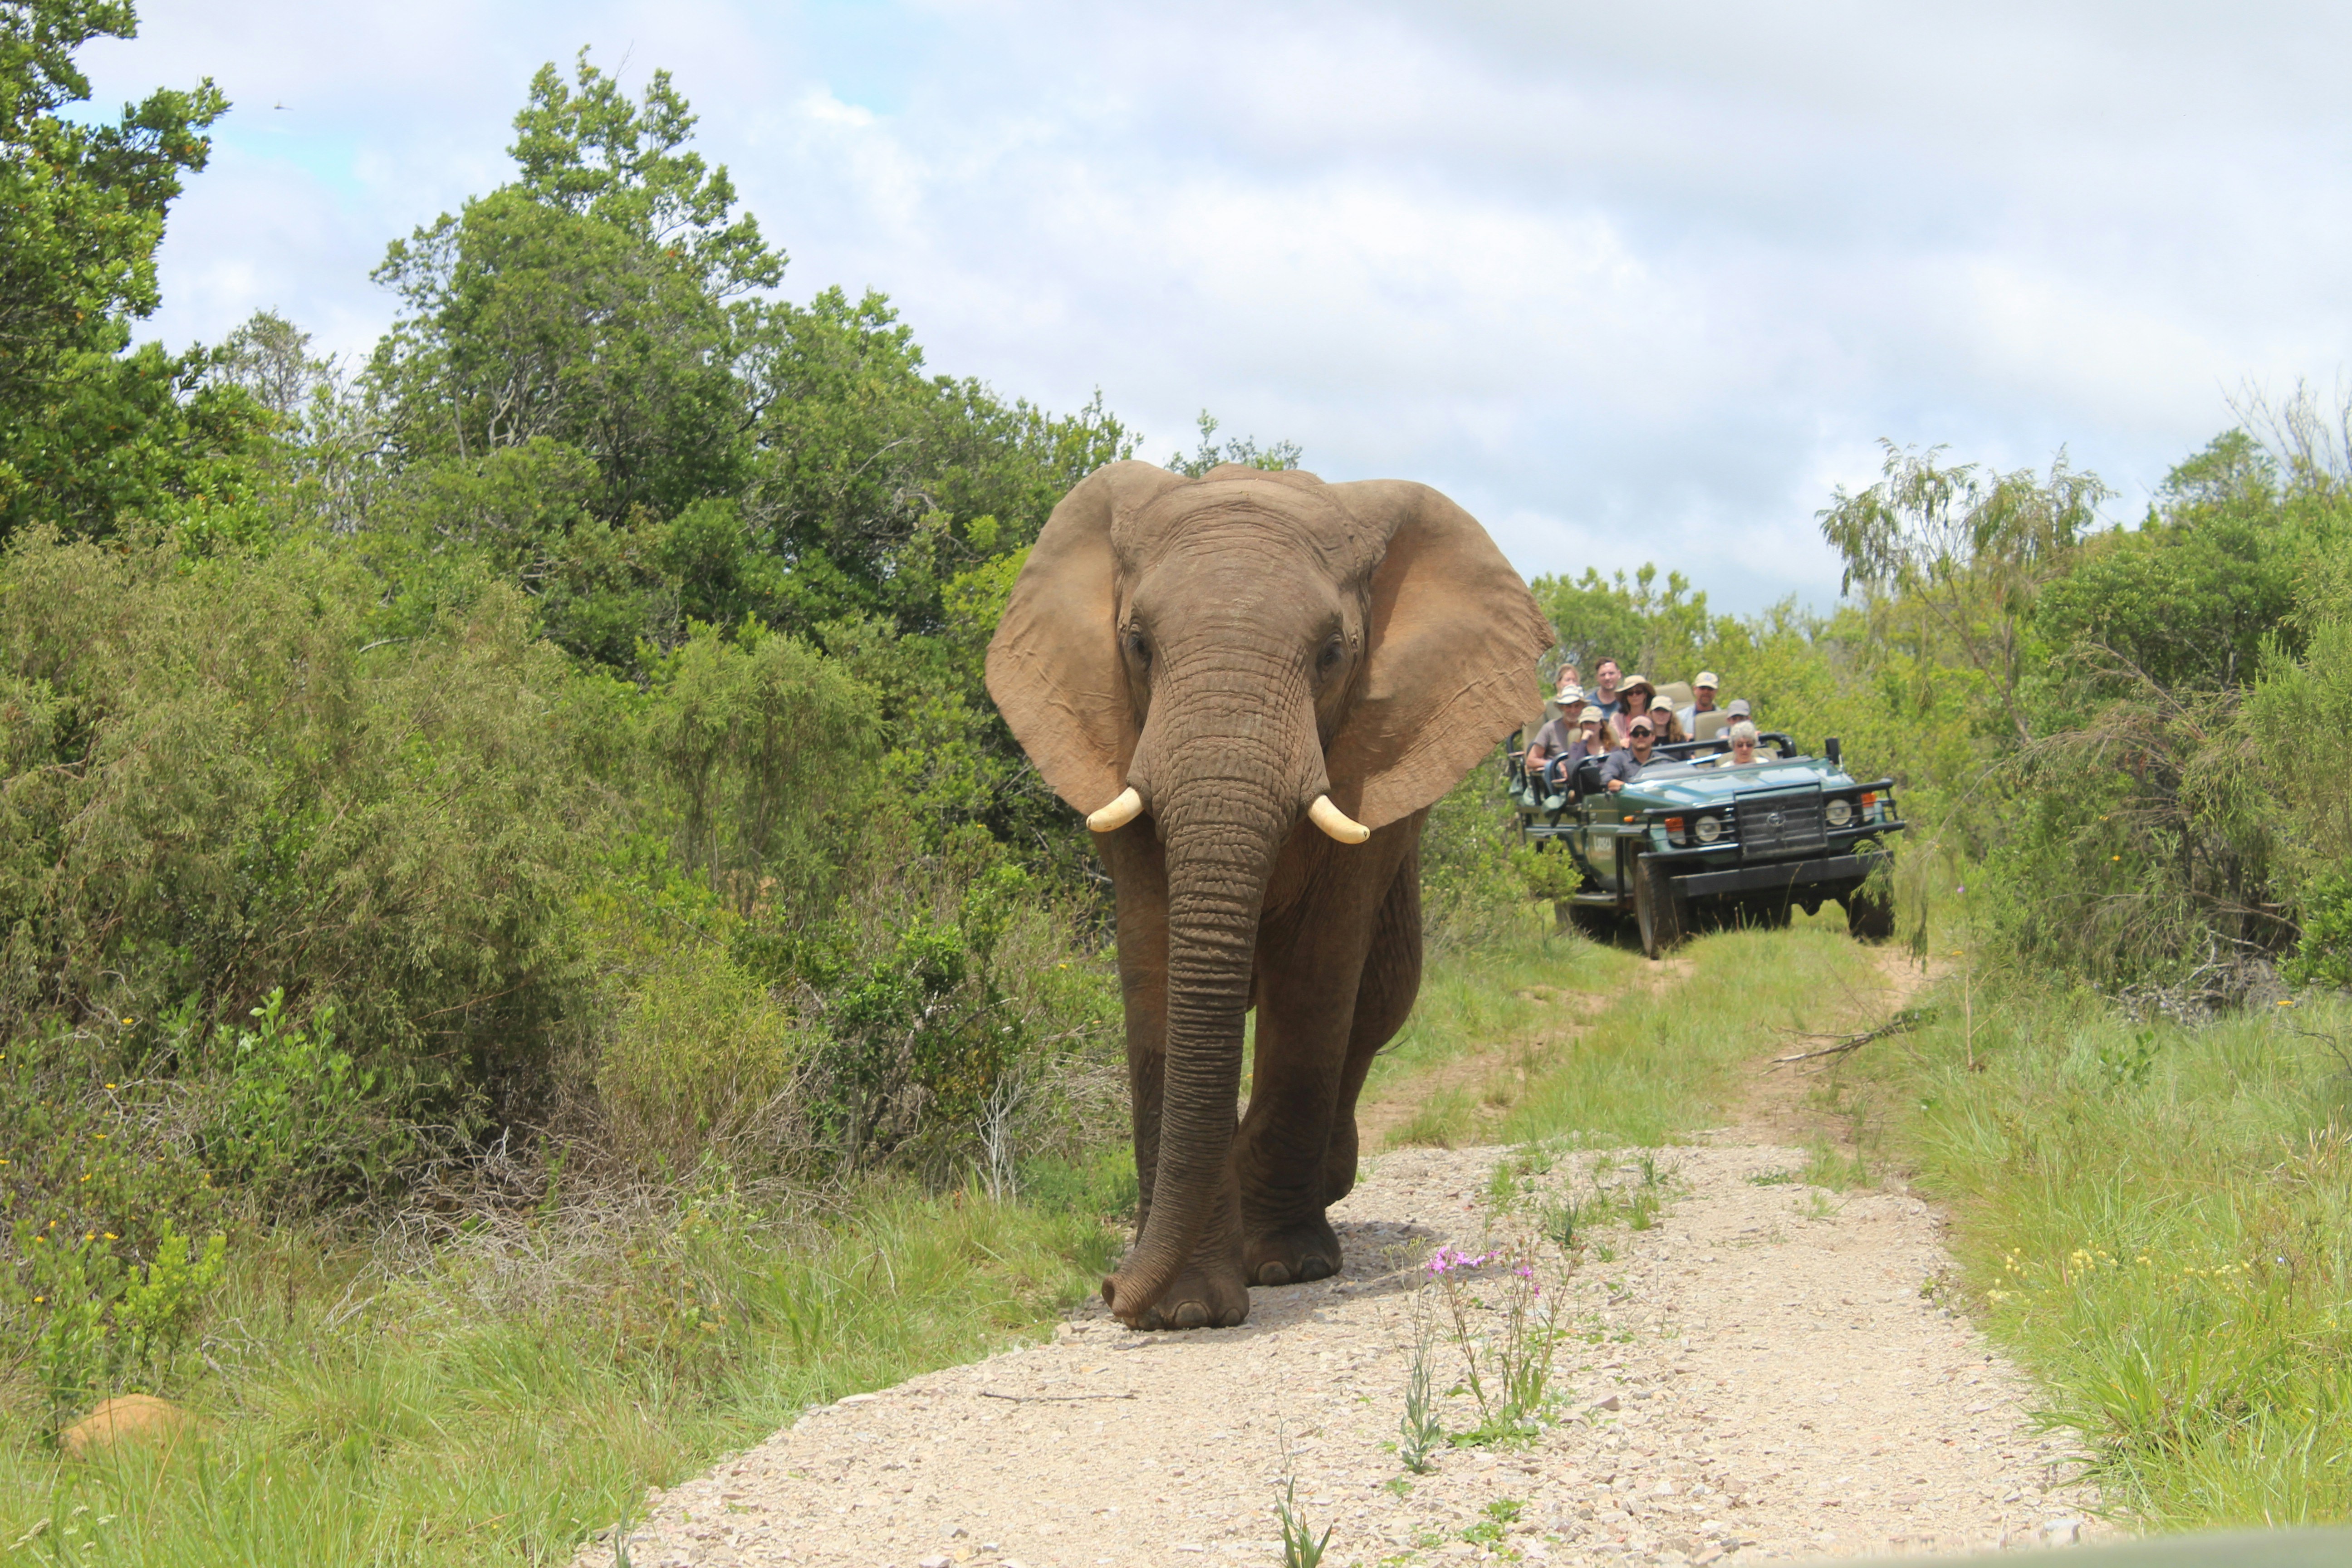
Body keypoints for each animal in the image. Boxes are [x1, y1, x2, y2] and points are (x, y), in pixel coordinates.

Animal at [985, 460, 1552, 1331]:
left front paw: (1284, 1267)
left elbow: (1316, 982)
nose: (1112, 1292)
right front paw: (1185, 1311)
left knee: (1379, 1001)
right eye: (1137, 645)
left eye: (1332, 654)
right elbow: (1155, 970)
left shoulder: (1366, 769)